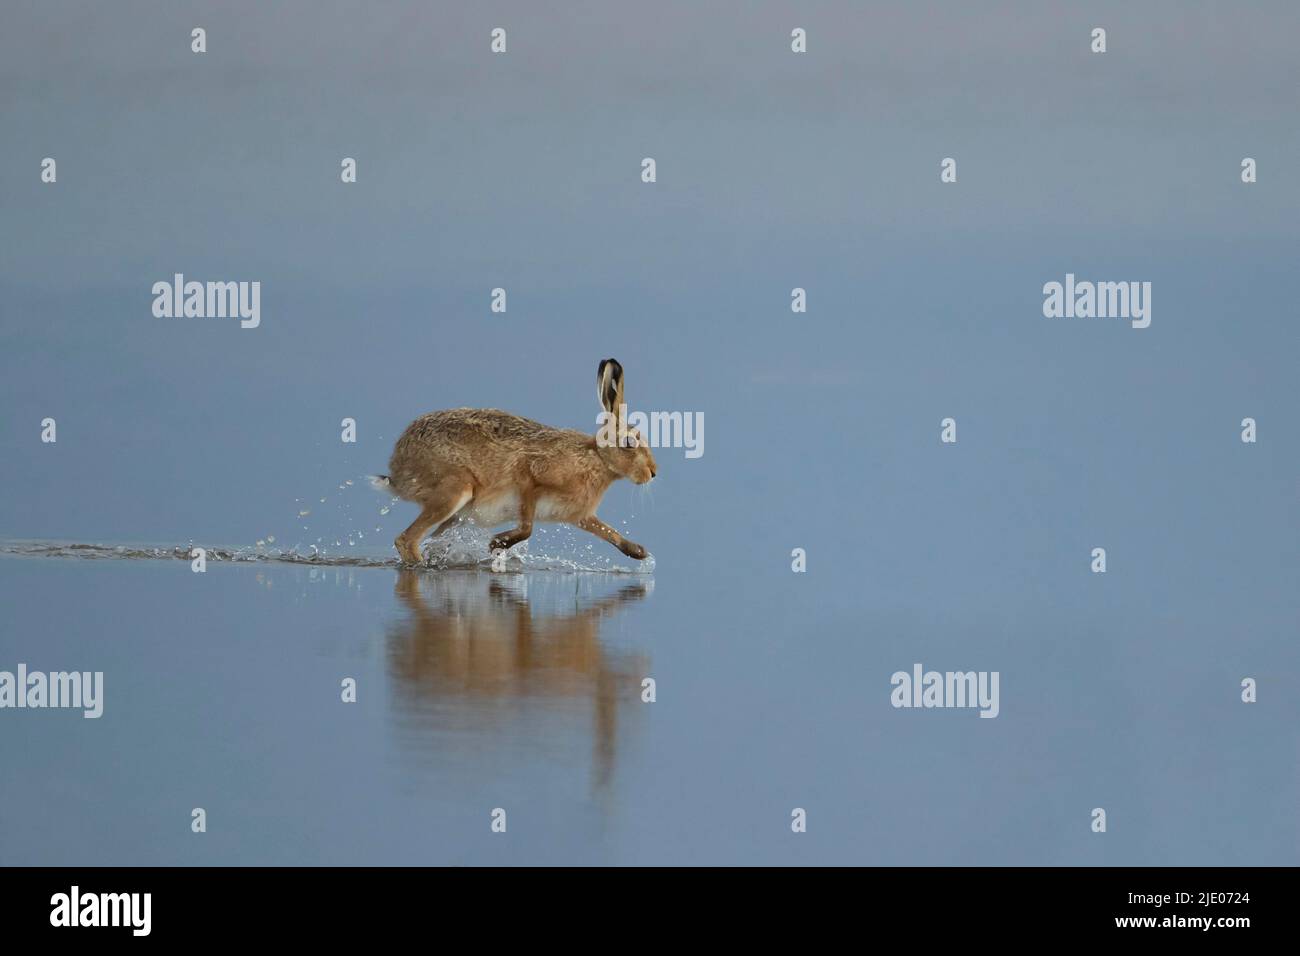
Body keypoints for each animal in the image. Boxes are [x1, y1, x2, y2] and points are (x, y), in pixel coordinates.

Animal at [380, 358, 657, 566]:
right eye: (629, 443)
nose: (653, 472)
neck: (597, 459)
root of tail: (397, 468)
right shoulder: (529, 477)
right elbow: (527, 527)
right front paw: (496, 543)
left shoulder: (581, 515)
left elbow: (610, 533)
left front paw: (639, 551)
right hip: (454, 490)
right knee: (407, 540)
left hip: (457, 513)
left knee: (430, 540)